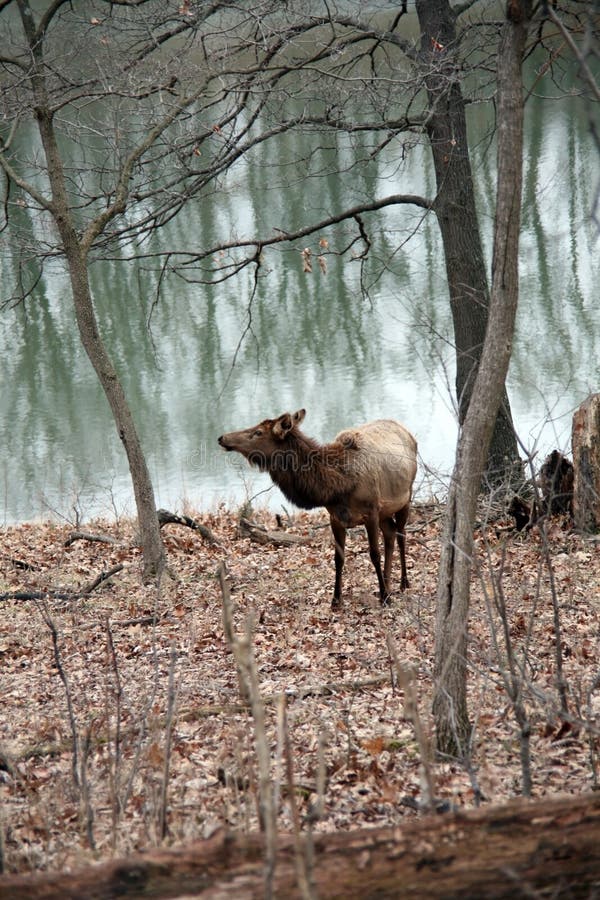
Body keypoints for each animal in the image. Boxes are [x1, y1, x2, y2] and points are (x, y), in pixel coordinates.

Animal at [218, 409, 417, 609]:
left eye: (258, 432)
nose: (222, 438)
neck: (339, 486)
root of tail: (408, 433)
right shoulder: (335, 517)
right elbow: (338, 558)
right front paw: (336, 600)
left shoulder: (371, 512)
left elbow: (374, 554)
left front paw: (385, 598)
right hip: (386, 511)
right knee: (391, 533)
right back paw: (388, 583)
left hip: (405, 498)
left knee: (401, 535)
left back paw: (403, 583)